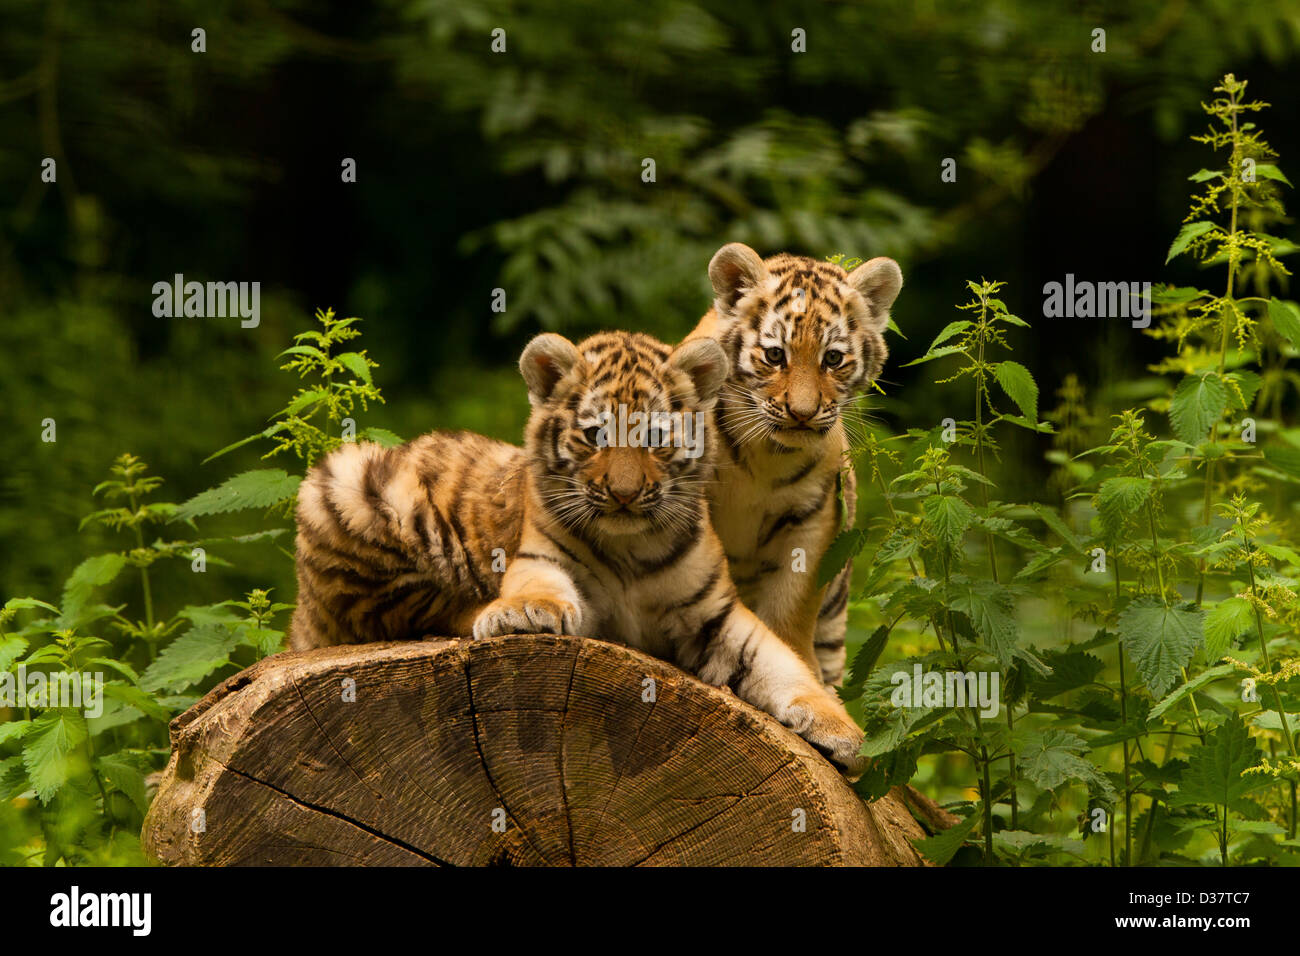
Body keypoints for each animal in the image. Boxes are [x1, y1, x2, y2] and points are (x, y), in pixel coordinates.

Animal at [289, 330, 866, 776]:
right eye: (594, 435)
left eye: (655, 438)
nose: (625, 494)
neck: (634, 545)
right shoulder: (546, 563)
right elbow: (541, 588)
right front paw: (526, 612)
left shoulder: (716, 615)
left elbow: (781, 662)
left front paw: (844, 732)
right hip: (349, 485)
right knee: (401, 609)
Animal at [685, 243, 903, 688]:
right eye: (774, 355)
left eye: (833, 359)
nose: (802, 413)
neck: (767, 455)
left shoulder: (815, 518)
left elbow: (792, 605)